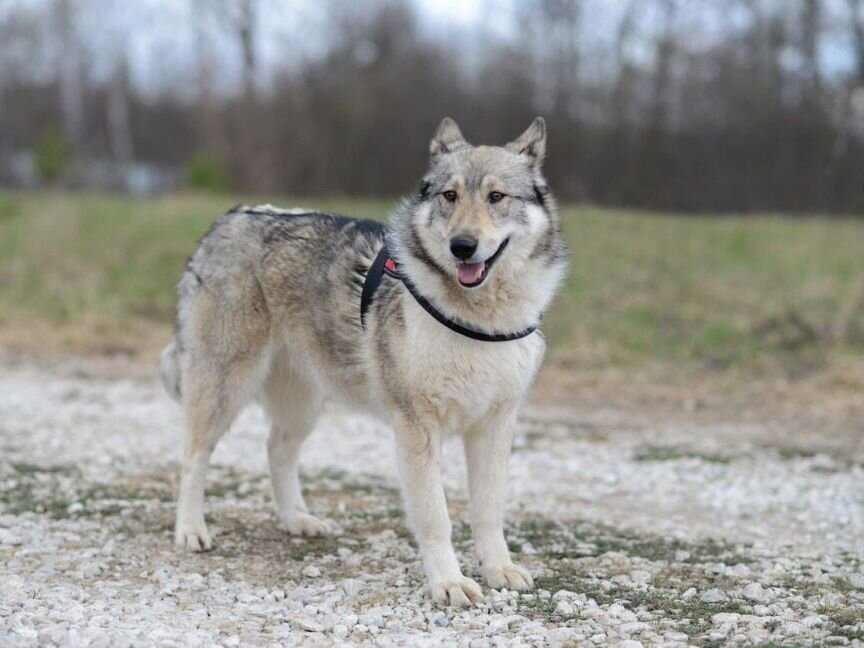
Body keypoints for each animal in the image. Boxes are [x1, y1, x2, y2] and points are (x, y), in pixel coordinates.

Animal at [160, 117, 568, 608]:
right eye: (450, 196)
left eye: (496, 197)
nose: (462, 246)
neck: (477, 322)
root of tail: (228, 218)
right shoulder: (416, 429)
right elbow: (436, 517)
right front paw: (448, 583)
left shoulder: (494, 427)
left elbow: (489, 512)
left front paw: (498, 569)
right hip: (225, 388)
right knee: (192, 456)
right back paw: (191, 530)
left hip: (303, 404)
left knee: (275, 450)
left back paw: (297, 520)